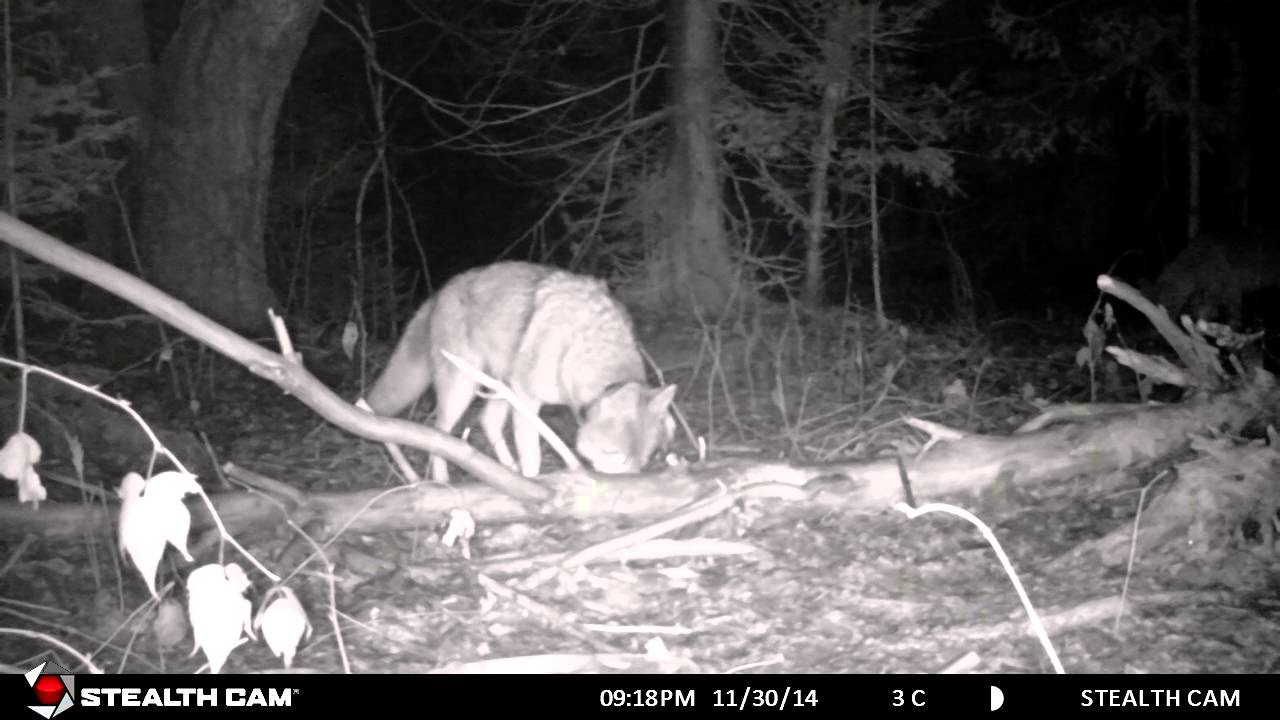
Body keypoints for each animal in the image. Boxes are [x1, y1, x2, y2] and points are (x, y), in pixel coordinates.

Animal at [363, 261, 678, 483]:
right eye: (615, 455)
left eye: (644, 460)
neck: (577, 347)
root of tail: (439, 292)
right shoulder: (528, 399)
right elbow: (533, 457)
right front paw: (533, 485)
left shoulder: (522, 395)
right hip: (464, 388)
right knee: (439, 434)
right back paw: (443, 483)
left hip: (502, 387)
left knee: (487, 421)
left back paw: (506, 471)